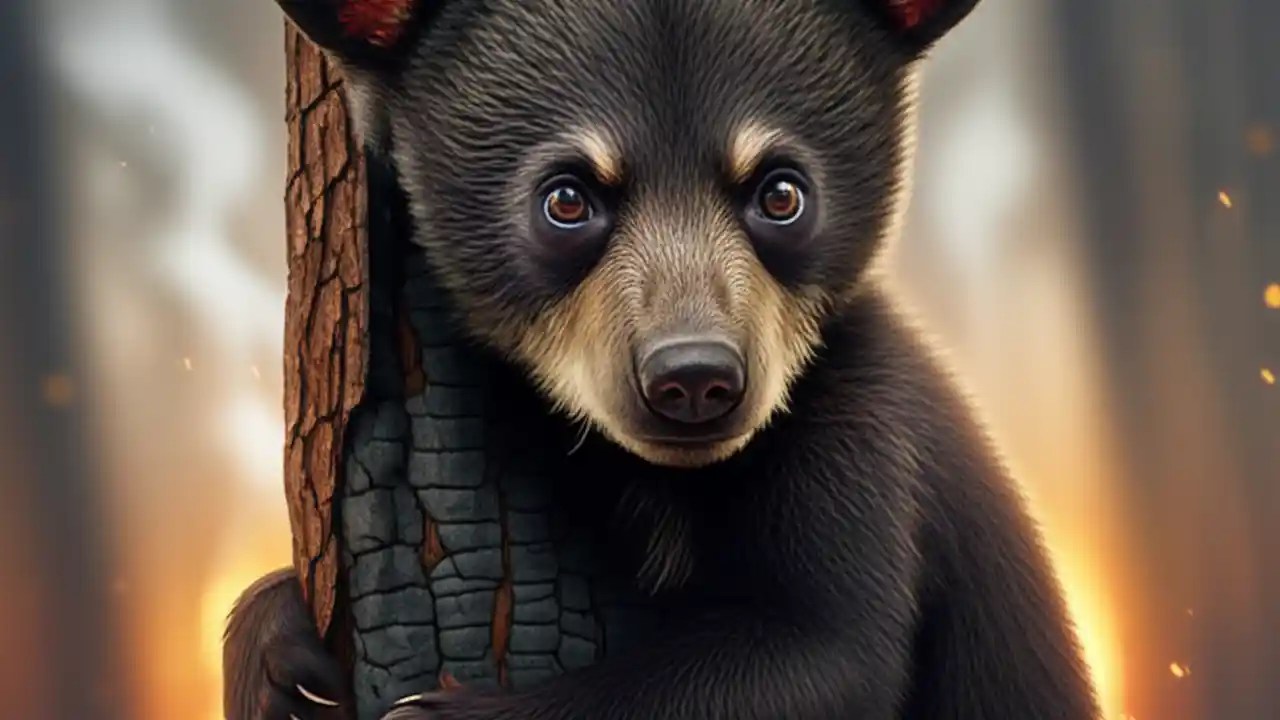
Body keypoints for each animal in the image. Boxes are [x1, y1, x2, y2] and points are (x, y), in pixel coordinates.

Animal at [225, 0, 1101, 718]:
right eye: (566, 198)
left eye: (781, 193)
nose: (693, 378)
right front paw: (282, 657)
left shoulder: (862, 429)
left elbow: (823, 652)